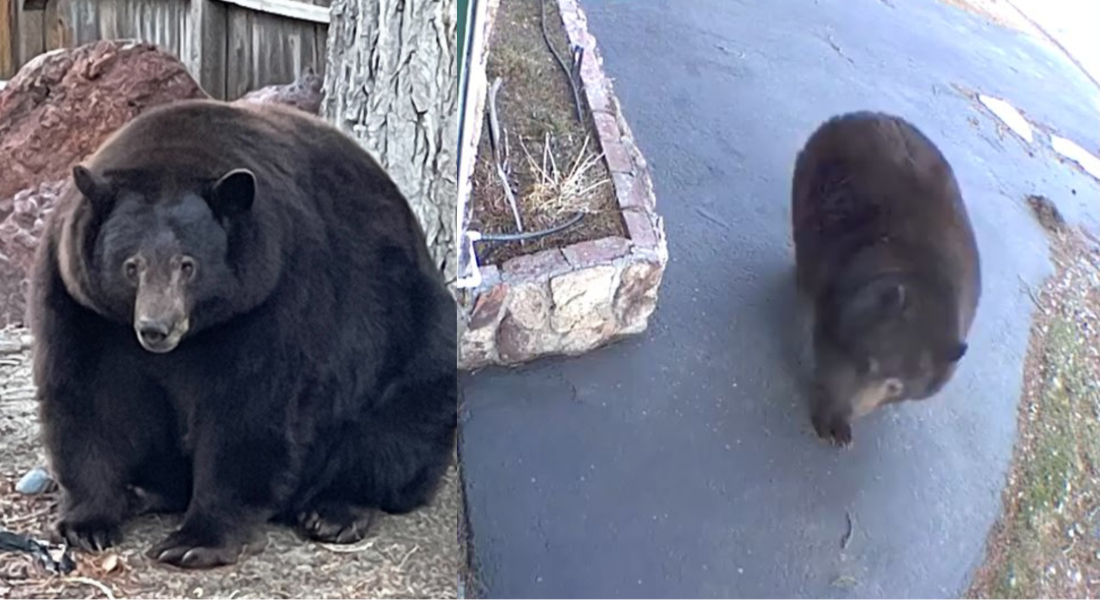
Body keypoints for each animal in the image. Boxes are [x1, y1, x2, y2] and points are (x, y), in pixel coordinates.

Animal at [29, 98, 457, 568]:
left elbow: (249, 408)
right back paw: (144, 490)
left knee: (396, 430)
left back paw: (334, 511)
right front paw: (87, 523)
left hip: (411, 339)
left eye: (188, 264)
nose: (156, 329)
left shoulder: (273, 294)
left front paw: (194, 540)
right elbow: (89, 395)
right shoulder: (81, 303)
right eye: (131, 265)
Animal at [790, 111, 981, 447]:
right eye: (868, 363)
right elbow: (830, 357)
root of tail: (860, 114)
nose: (852, 408)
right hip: (811, 184)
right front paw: (831, 419)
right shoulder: (841, 291)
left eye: (896, 385)